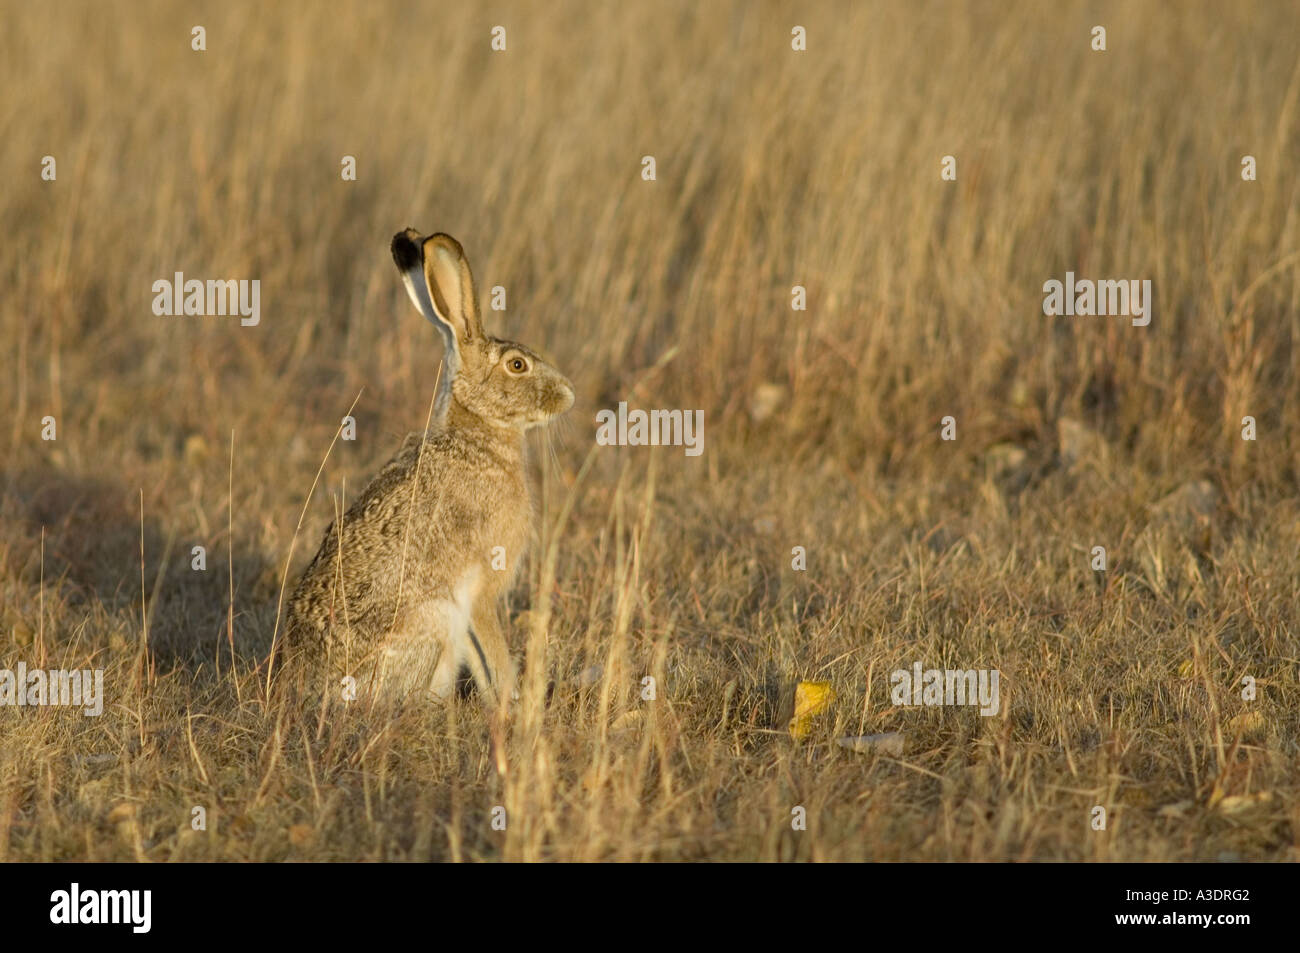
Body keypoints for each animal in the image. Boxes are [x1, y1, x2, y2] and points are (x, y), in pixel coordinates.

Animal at [280, 229, 574, 708]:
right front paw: (513, 702)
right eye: (517, 365)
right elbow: (493, 646)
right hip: (435, 621)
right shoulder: (482, 588)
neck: (477, 435)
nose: (569, 394)